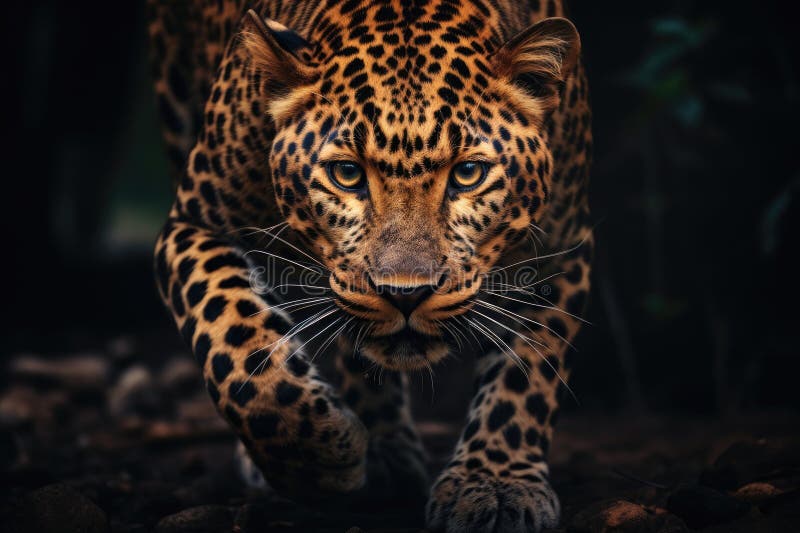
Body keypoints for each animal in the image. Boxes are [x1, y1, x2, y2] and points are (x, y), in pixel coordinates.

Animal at [148, 0, 592, 530]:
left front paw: (497, 485)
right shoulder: (195, 224)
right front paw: (319, 458)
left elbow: (526, 379)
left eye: (468, 173)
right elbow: (240, 347)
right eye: (347, 174)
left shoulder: (560, 253)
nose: (406, 293)